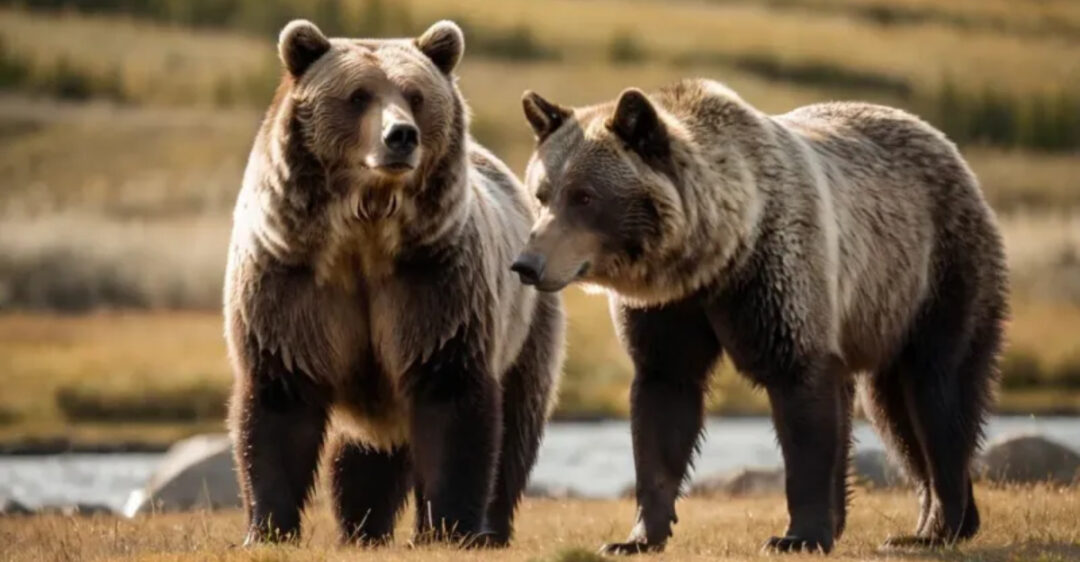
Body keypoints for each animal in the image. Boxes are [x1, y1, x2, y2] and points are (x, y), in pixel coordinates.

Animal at [223, 19, 564, 547]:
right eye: (358, 95)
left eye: (416, 94)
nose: (401, 135)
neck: (364, 232)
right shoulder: (291, 281)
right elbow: (279, 403)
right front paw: (268, 528)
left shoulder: (434, 283)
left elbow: (451, 401)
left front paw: (449, 528)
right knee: (361, 454)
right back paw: (362, 527)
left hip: (527, 318)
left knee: (517, 426)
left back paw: (491, 527)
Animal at [511, 79, 1007, 554]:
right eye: (542, 193)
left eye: (584, 196)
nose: (527, 264)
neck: (712, 256)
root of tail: (942, 142)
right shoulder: (668, 311)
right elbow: (663, 403)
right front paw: (636, 536)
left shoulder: (774, 280)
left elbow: (802, 403)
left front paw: (797, 535)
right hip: (882, 310)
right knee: (893, 412)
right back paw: (930, 525)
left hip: (935, 275)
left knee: (937, 394)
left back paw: (937, 527)